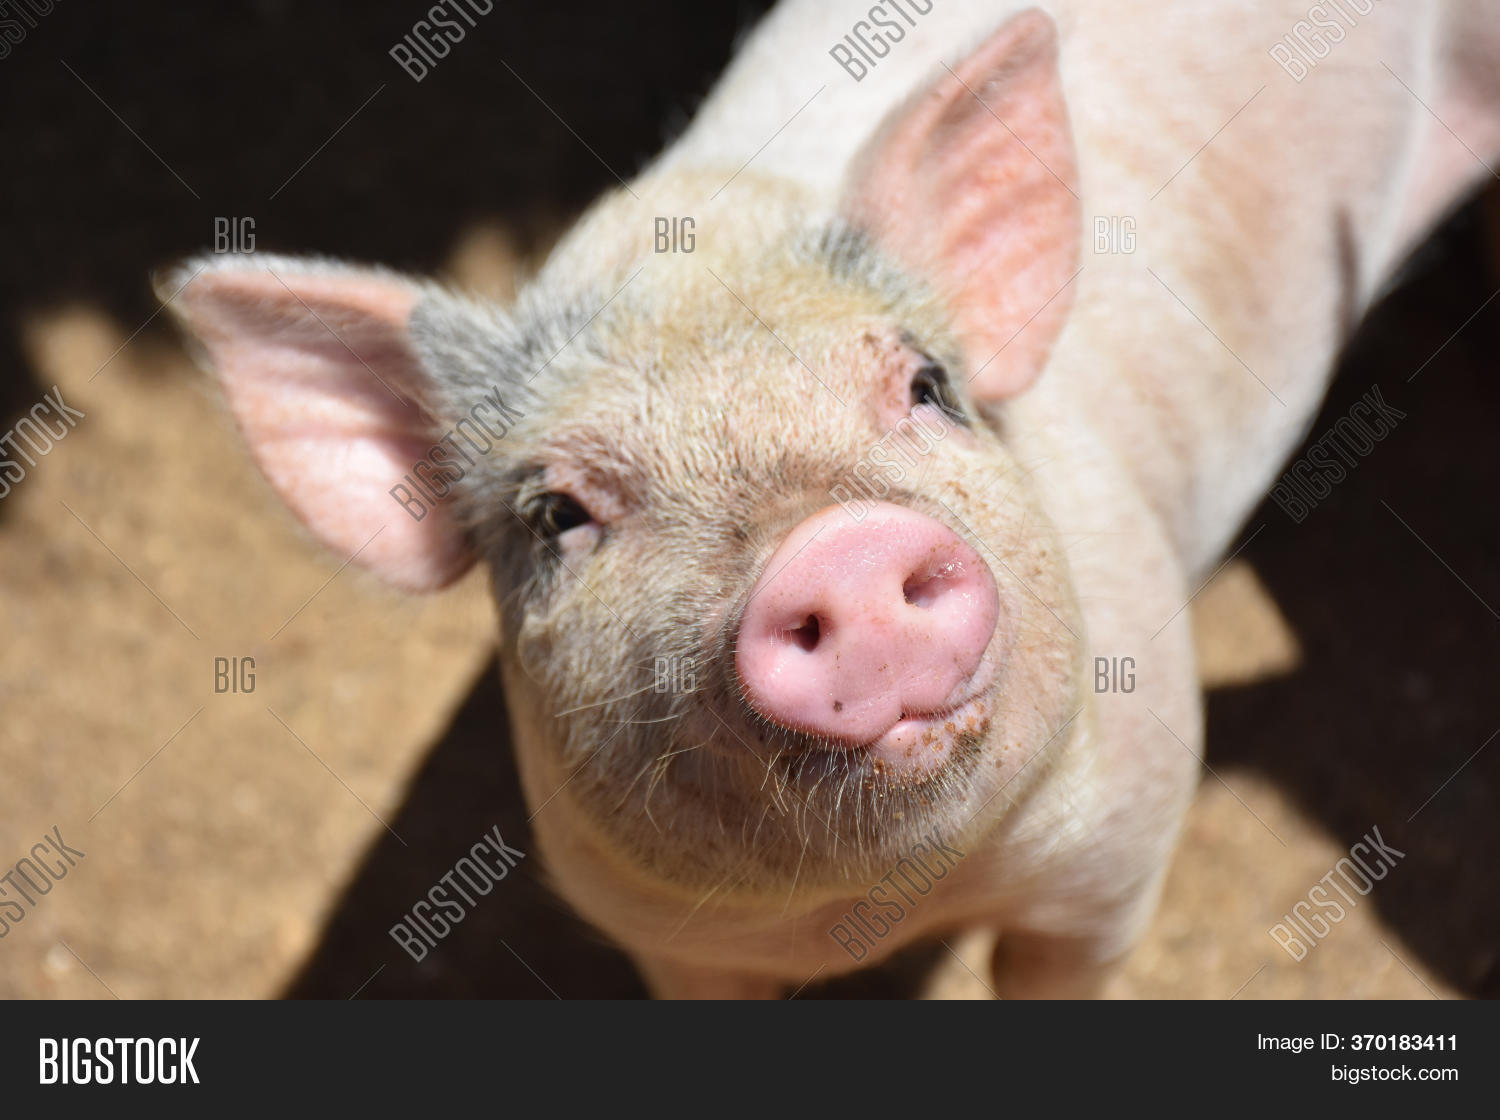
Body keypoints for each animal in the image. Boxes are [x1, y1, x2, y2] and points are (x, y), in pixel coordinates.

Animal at [161, 1, 1500, 997]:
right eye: (557, 516)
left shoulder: (1121, 853)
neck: (893, 904)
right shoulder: (664, 934)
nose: (840, 547)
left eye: (929, 386)